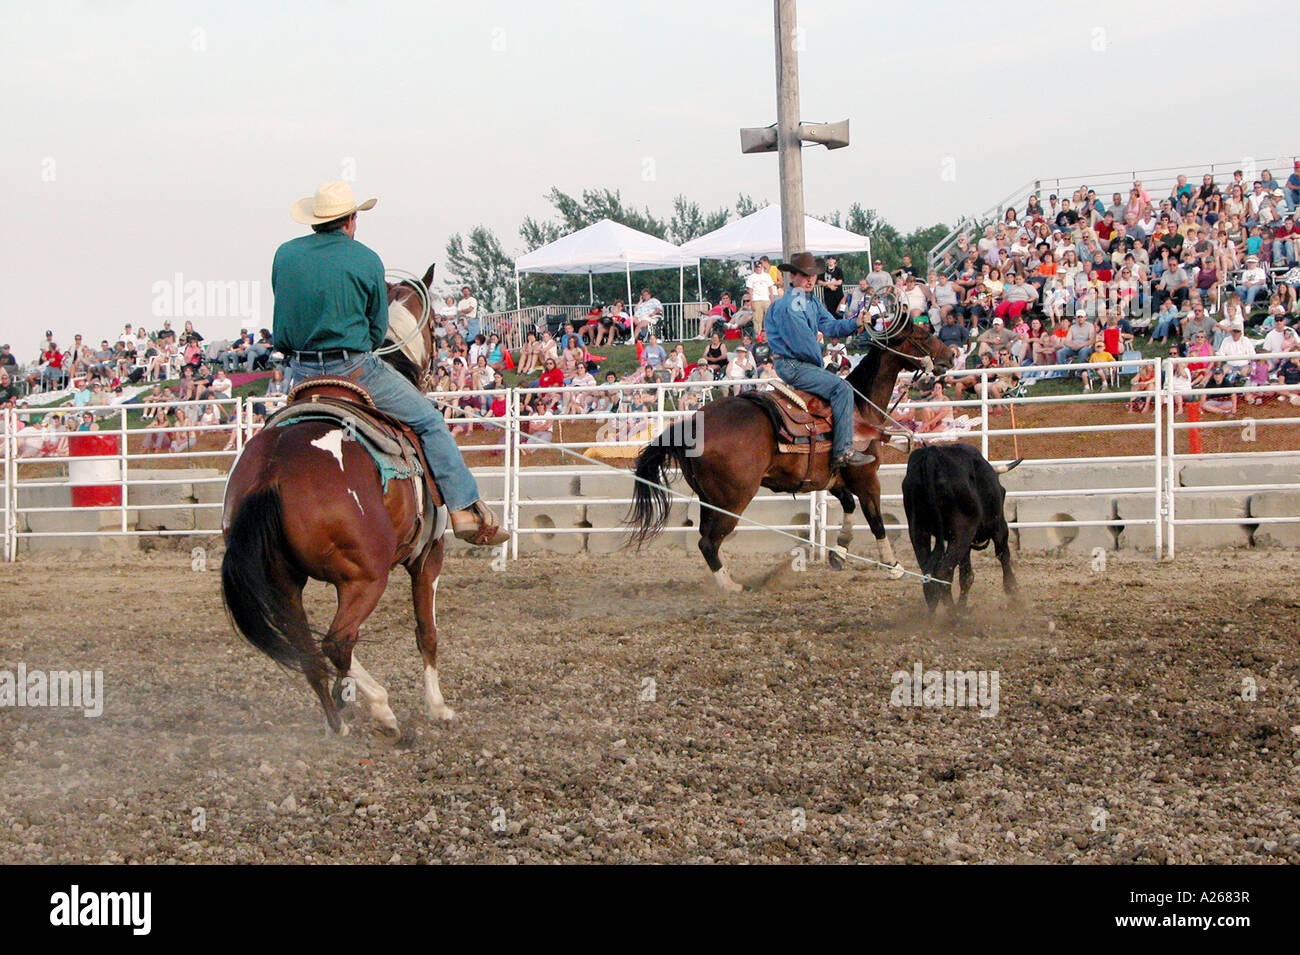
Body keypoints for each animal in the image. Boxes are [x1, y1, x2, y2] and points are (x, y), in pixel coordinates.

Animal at [218, 265, 452, 738]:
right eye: (435, 323)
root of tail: (271, 472)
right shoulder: (427, 555)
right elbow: (426, 632)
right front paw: (437, 706)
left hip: (284, 581)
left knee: (308, 648)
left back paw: (339, 720)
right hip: (365, 577)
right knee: (336, 641)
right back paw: (379, 710)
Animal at [629, 319, 956, 589]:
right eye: (923, 335)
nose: (951, 356)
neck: (860, 408)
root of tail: (692, 424)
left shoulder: (832, 480)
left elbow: (848, 506)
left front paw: (839, 551)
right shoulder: (865, 478)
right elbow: (875, 519)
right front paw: (893, 566)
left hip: (709, 498)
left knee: (705, 539)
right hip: (733, 499)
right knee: (709, 542)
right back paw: (732, 587)